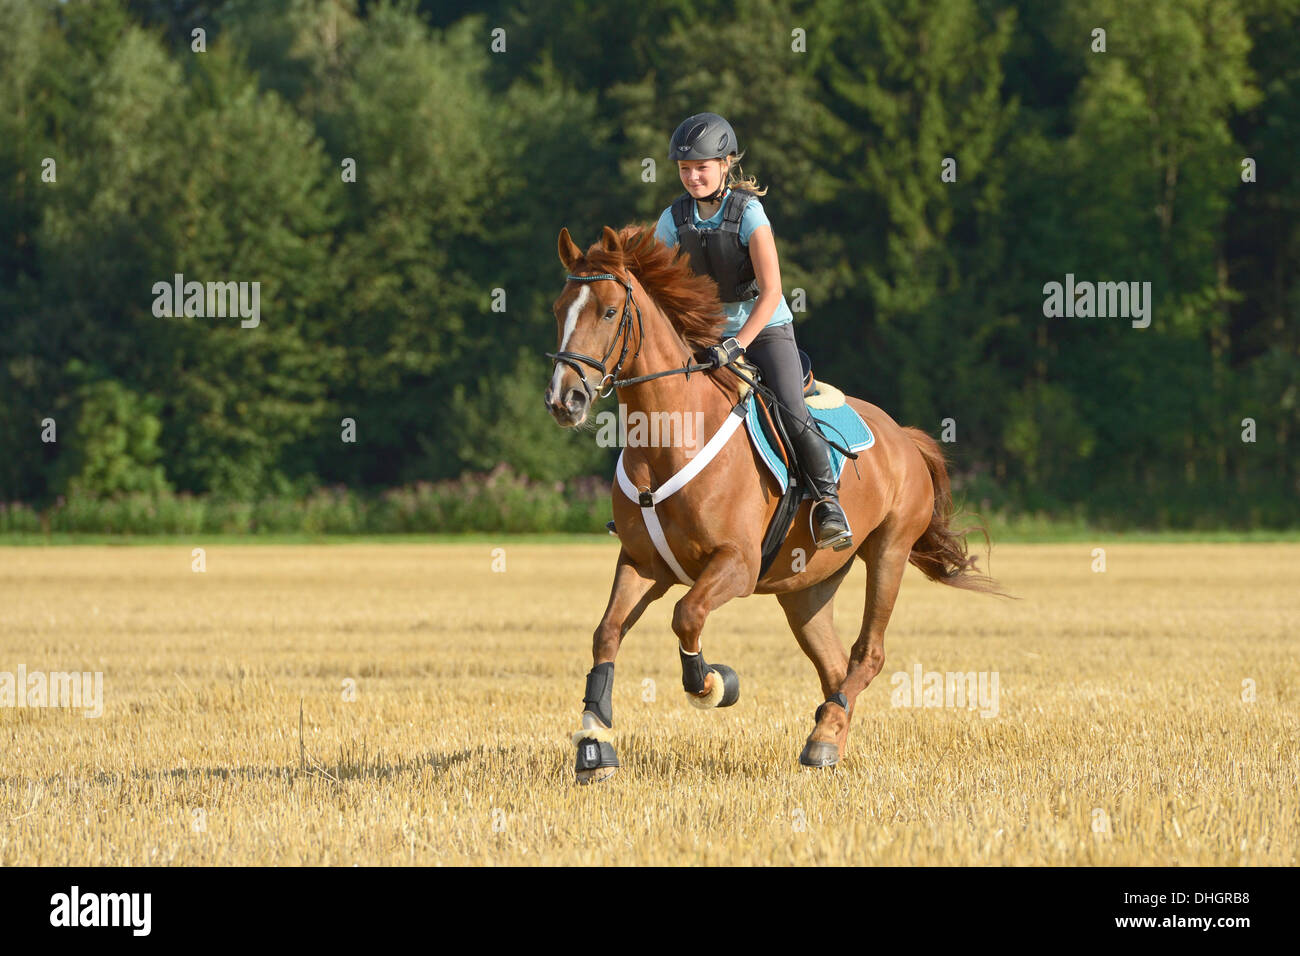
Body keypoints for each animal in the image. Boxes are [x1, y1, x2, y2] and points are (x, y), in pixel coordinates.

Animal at [546, 224, 1002, 783]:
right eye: (559, 309)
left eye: (610, 312)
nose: (564, 399)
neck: (666, 439)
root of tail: (904, 436)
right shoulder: (642, 562)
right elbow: (607, 633)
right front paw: (594, 744)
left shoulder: (735, 565)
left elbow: (686, 615)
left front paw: (713, 684)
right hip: (805, 587)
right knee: (834, 665)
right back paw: (828, 736)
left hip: (889, 552)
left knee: (868, 654)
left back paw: (824, 736)